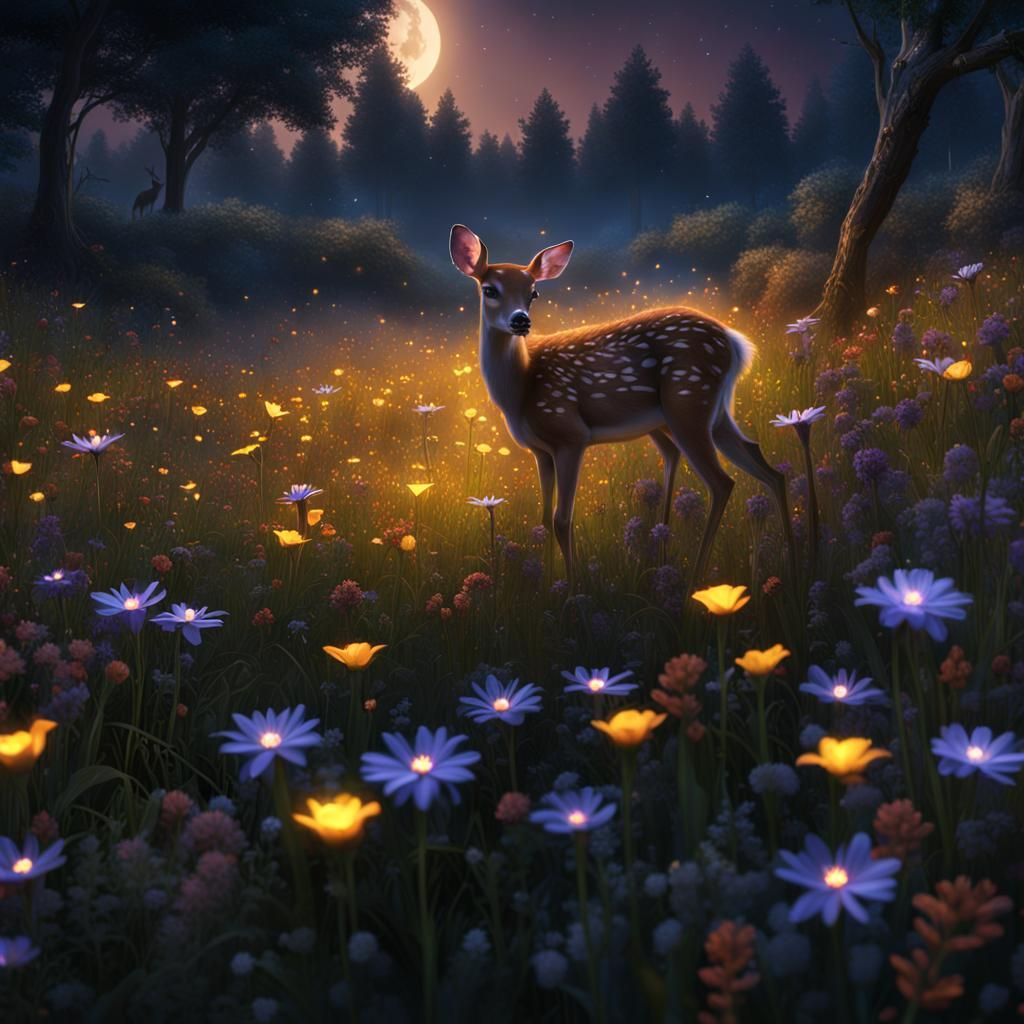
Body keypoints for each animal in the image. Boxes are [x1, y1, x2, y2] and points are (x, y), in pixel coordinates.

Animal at [449, 224, 794, 592]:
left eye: (534, 293)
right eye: (490, 289)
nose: (520, 321)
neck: (521, 388)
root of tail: (734, 340)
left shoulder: (570, 435)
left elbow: (562, 519)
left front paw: (571, 589)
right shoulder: (540, 450)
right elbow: (543, 517)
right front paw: (545, 585)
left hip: (688, 401)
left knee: (722, 482)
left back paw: (695, 583)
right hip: (710, 413)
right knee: (764, 463)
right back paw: (793, 557)